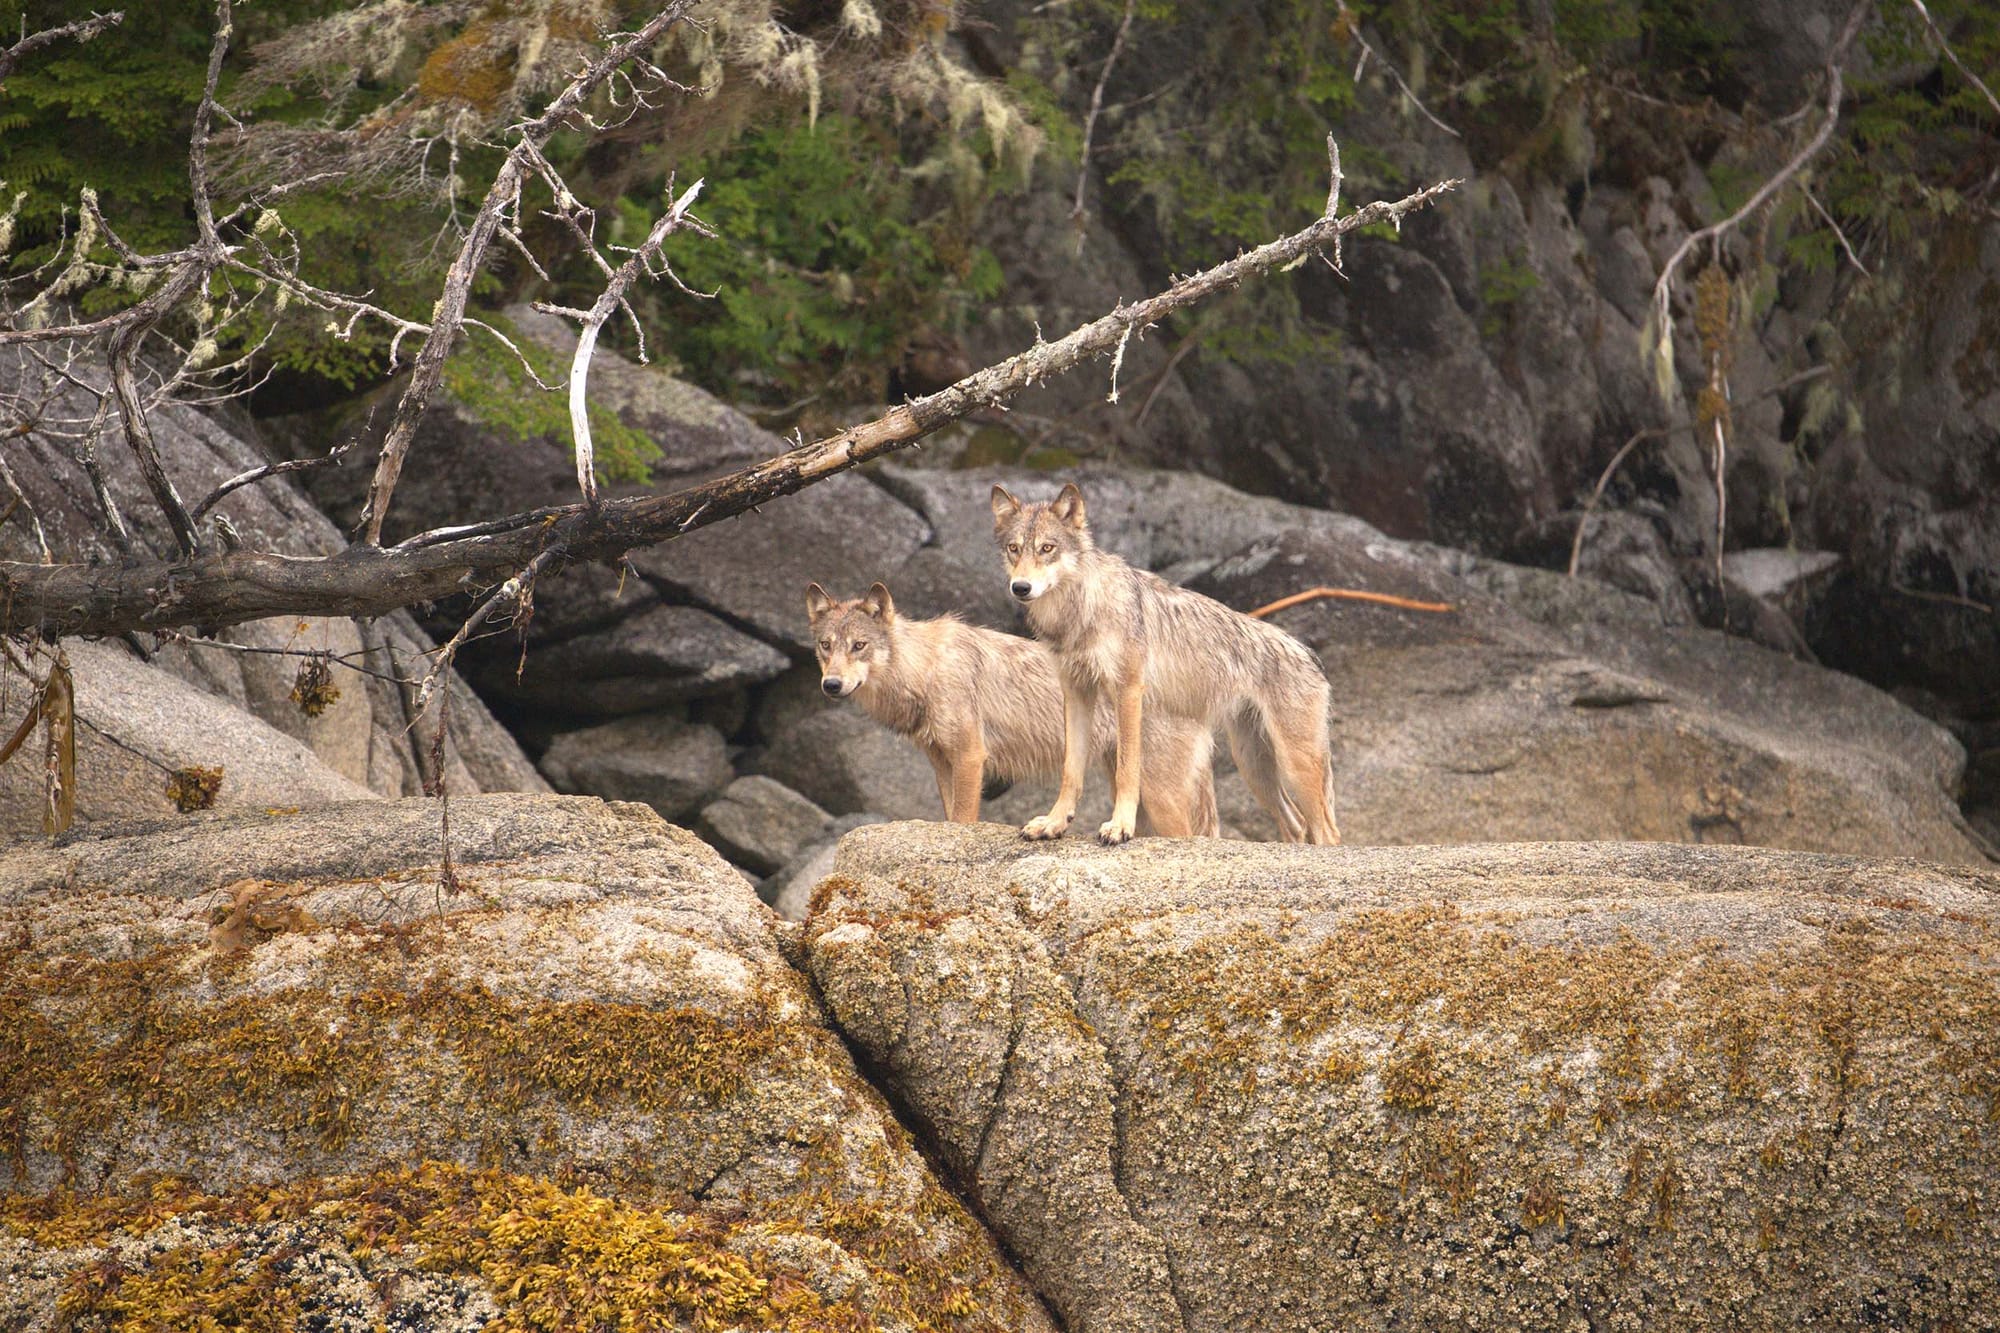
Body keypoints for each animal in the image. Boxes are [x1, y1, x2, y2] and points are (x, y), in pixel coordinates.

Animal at [805, 581, 1218, 836]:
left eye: (858, 646)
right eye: (826, 645)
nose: (831, 685)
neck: (924, 670)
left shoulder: (971, 758)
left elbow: (963, 821)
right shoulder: (942, 764)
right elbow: (950, 818)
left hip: (1158, 797)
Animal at [990, 482, 1341, 846]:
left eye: (1047, 548)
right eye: (1014, 549)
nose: (1021, 587)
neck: (1079, 610)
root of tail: (1308, 653)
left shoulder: (1129, 690)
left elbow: (1127, 769)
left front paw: (1120, 827)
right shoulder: (1076, 693)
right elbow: (1070, 770)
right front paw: (1054, 823)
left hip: (1294, 766)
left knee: (1327, 832)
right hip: (1254, 767)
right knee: (1297, 825)